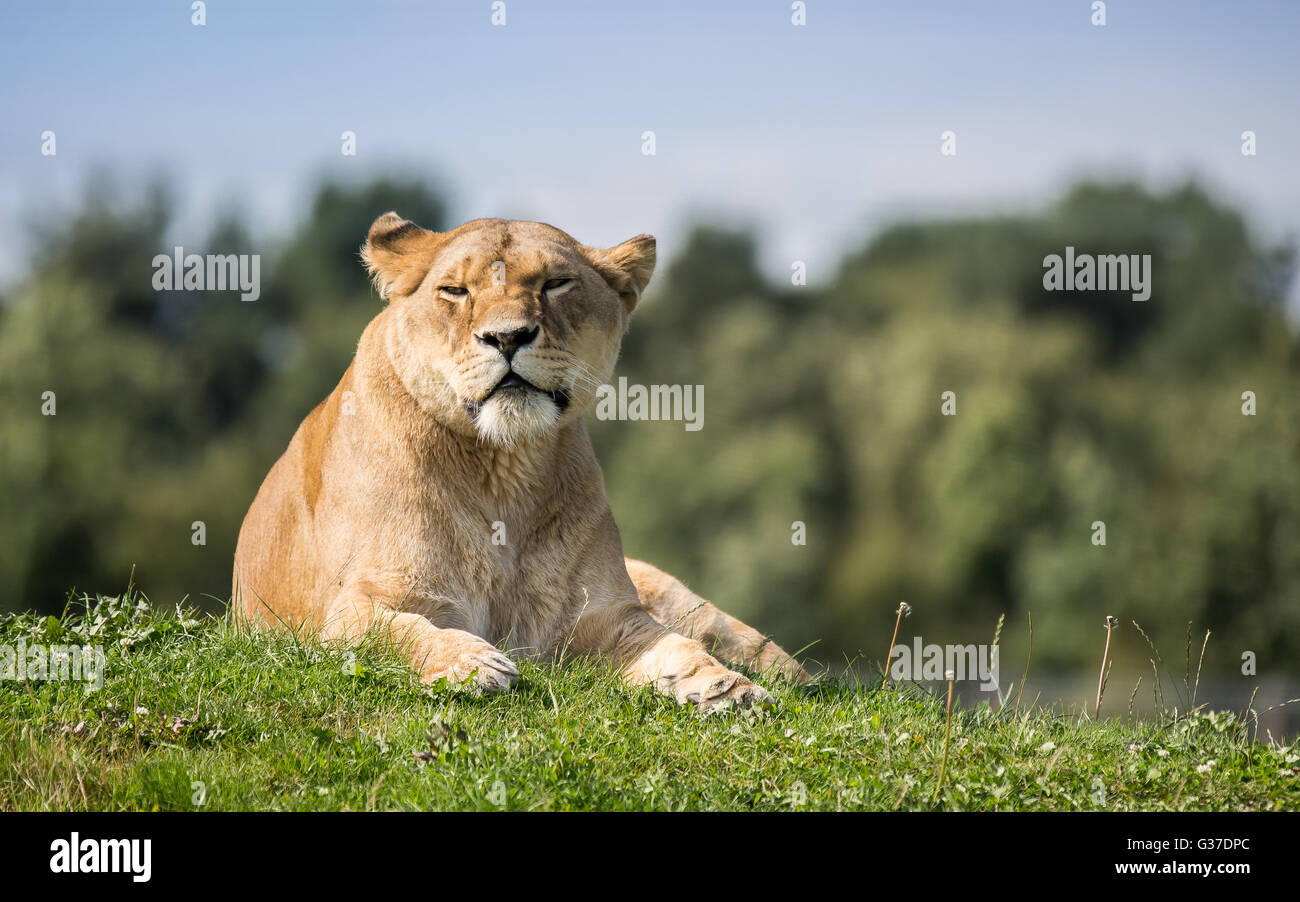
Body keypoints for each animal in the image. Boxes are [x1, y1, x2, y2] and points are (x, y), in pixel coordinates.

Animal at [232, 214, 810, 710]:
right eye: (455, 291)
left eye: (556, 284)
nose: (507, 336)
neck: (503, 470)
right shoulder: (345, 611)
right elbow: (398, 633)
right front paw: (472, 665)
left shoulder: (607, 617)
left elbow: (675, 647)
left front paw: (728, 689)